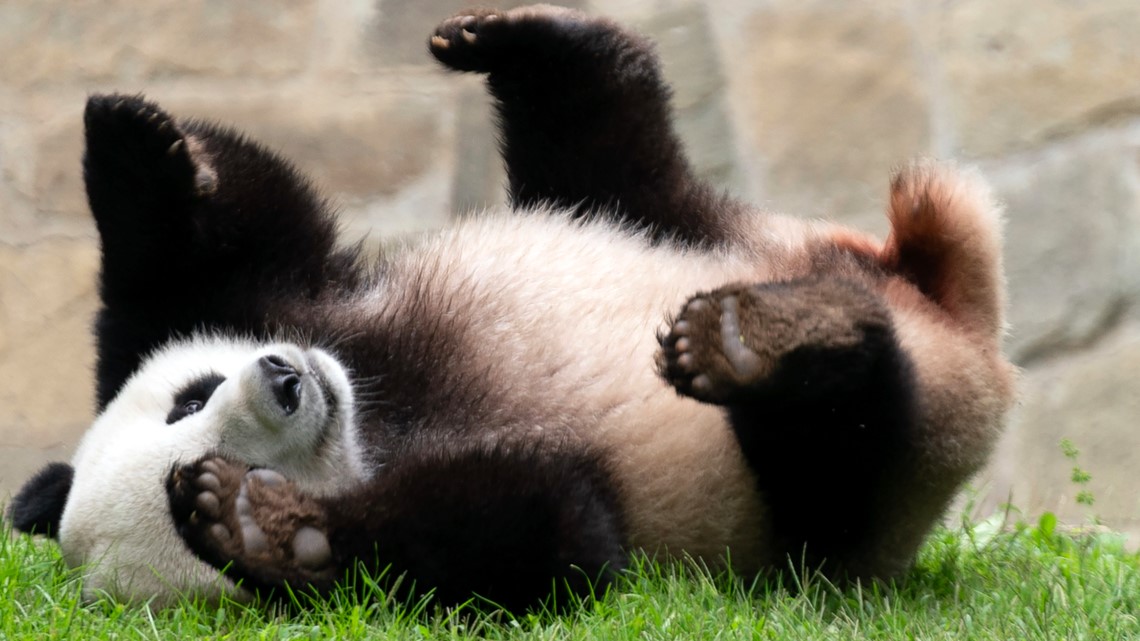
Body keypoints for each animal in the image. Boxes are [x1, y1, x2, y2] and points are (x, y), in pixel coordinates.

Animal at [7, 5, 1015, 612]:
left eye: (190, 396)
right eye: (212, 441)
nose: (287, 380)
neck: (378, 413)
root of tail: (953, 315)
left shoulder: (292, 302)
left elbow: (231, 244)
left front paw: (133, 145)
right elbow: (551, 536)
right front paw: (264, 526)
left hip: (701, 226)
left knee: (613, 152)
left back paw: (527, 42)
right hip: (847, 503)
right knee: (843, 447)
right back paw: (768, 345)